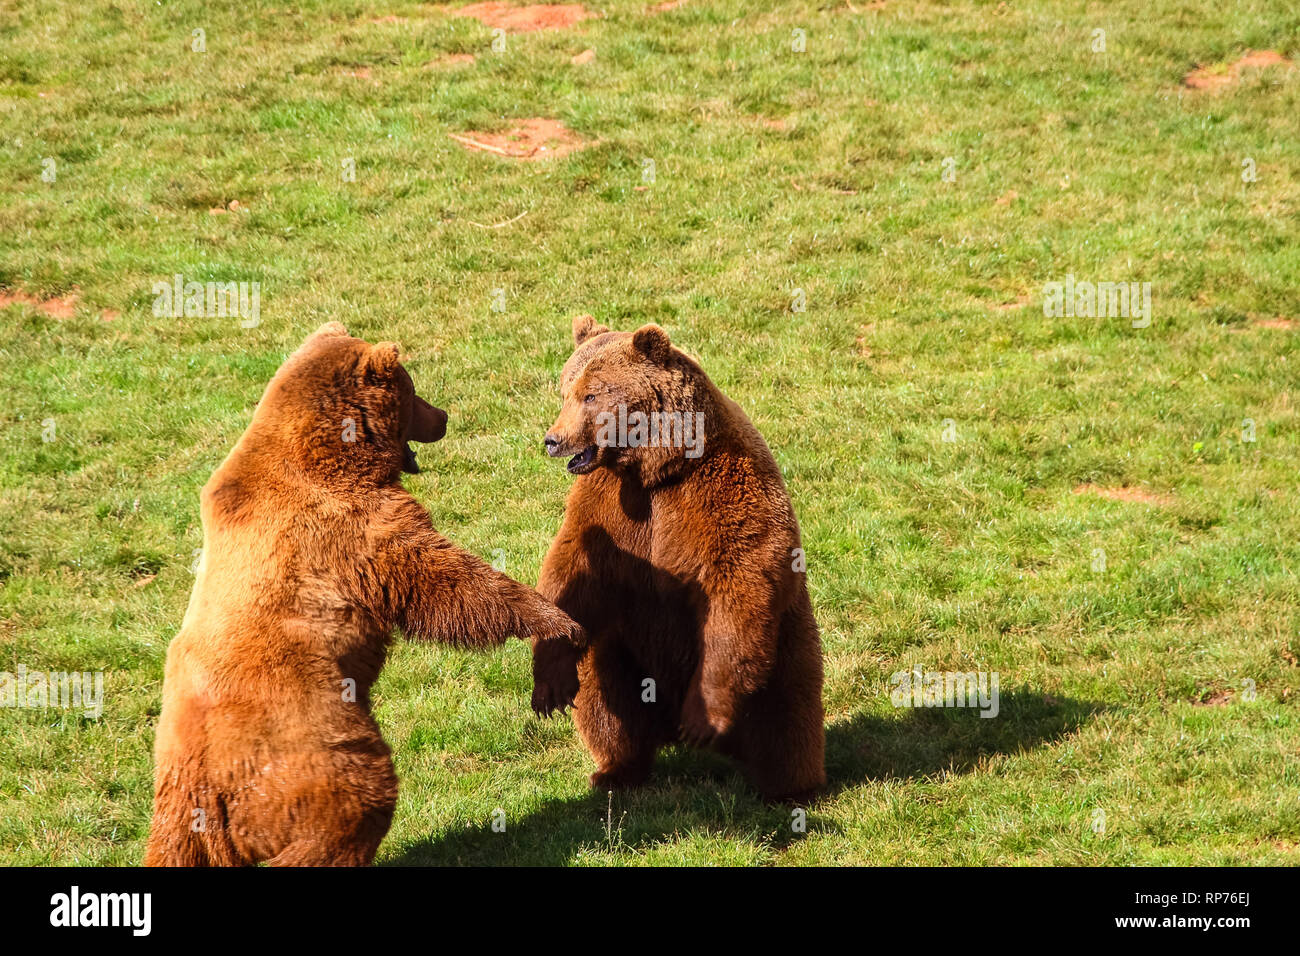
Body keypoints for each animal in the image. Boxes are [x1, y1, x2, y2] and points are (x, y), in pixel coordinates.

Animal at [145, 322, 586, 866]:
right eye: (413, 390)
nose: (442, 417)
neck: (338, 455)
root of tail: (203, 782)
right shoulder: (347, 526)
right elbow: (439, 576)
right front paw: (557, 621)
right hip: (308, 740)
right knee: (355, 799)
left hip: (182, 808)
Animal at [537, 315, 824, 802]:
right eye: (565, 389)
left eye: (591, 394)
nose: (553, 440)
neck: (656, 466)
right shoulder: (610, 505)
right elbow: (574, 567)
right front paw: (549, 683)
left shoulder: (720, 493)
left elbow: (738, 578)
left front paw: (701, 717)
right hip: (625, 654)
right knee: (605, 697)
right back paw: (615, 771)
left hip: (785, 645)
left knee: (787, 715)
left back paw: (790, 787)